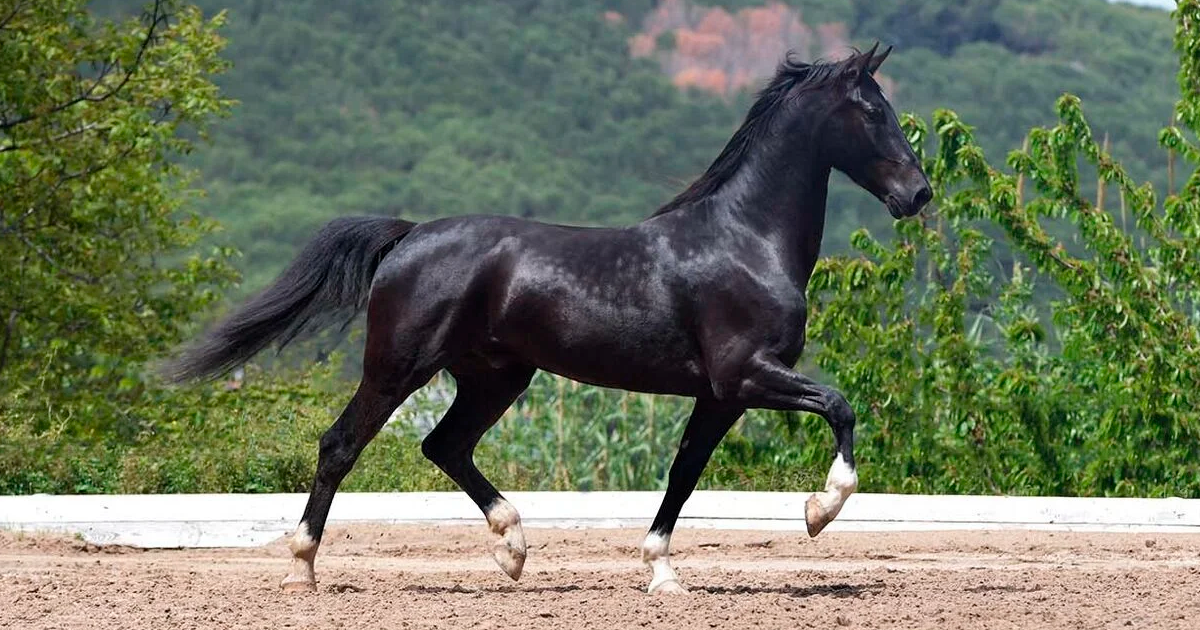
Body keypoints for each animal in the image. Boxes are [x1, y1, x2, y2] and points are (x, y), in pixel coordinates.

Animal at [163, 44, 931, 594]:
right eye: (872, 110)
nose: (917, 194)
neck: (744, 240)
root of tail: (409, 236)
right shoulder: (747, 376)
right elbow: (840, 407)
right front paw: (819, 511)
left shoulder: (720, 396)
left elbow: (683, 473)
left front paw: (661, 573)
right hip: (398, 369)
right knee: (340, 445)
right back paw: (303, 568)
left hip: (497, 378)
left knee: (445, 447)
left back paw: (513, 550)